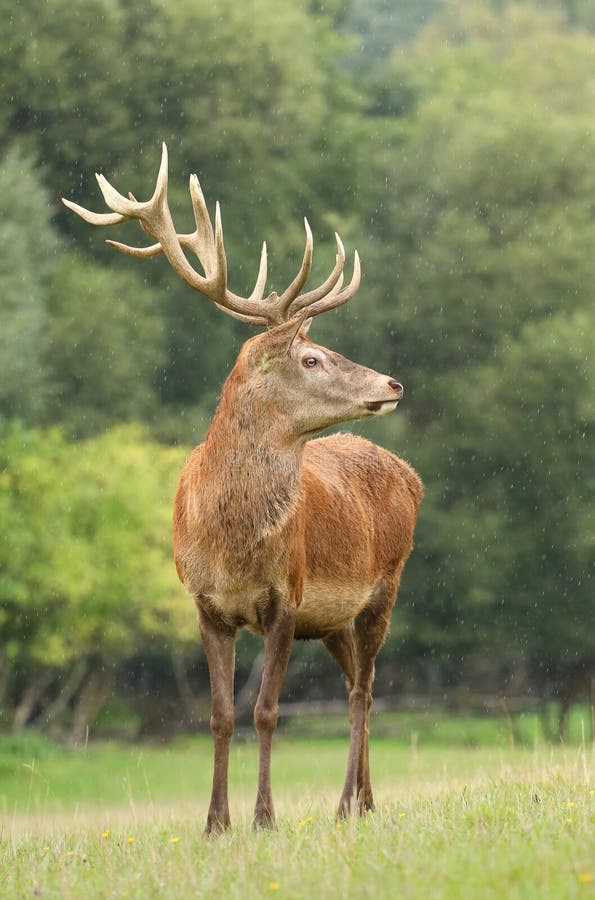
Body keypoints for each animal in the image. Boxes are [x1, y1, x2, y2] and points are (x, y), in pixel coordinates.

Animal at [63, 144, 423, 835]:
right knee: (356, 687)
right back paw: (363, 801)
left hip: (384, 587)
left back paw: (347, 804)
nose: (393, 384)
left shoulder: (286, 595)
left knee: (364, 691)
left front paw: (263, 818)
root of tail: (410, 474)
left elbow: (266, 712)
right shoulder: (206, 604)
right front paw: (214, 822)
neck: (229, 541)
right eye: (312, 358)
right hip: (332, 618)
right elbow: (221, 715)